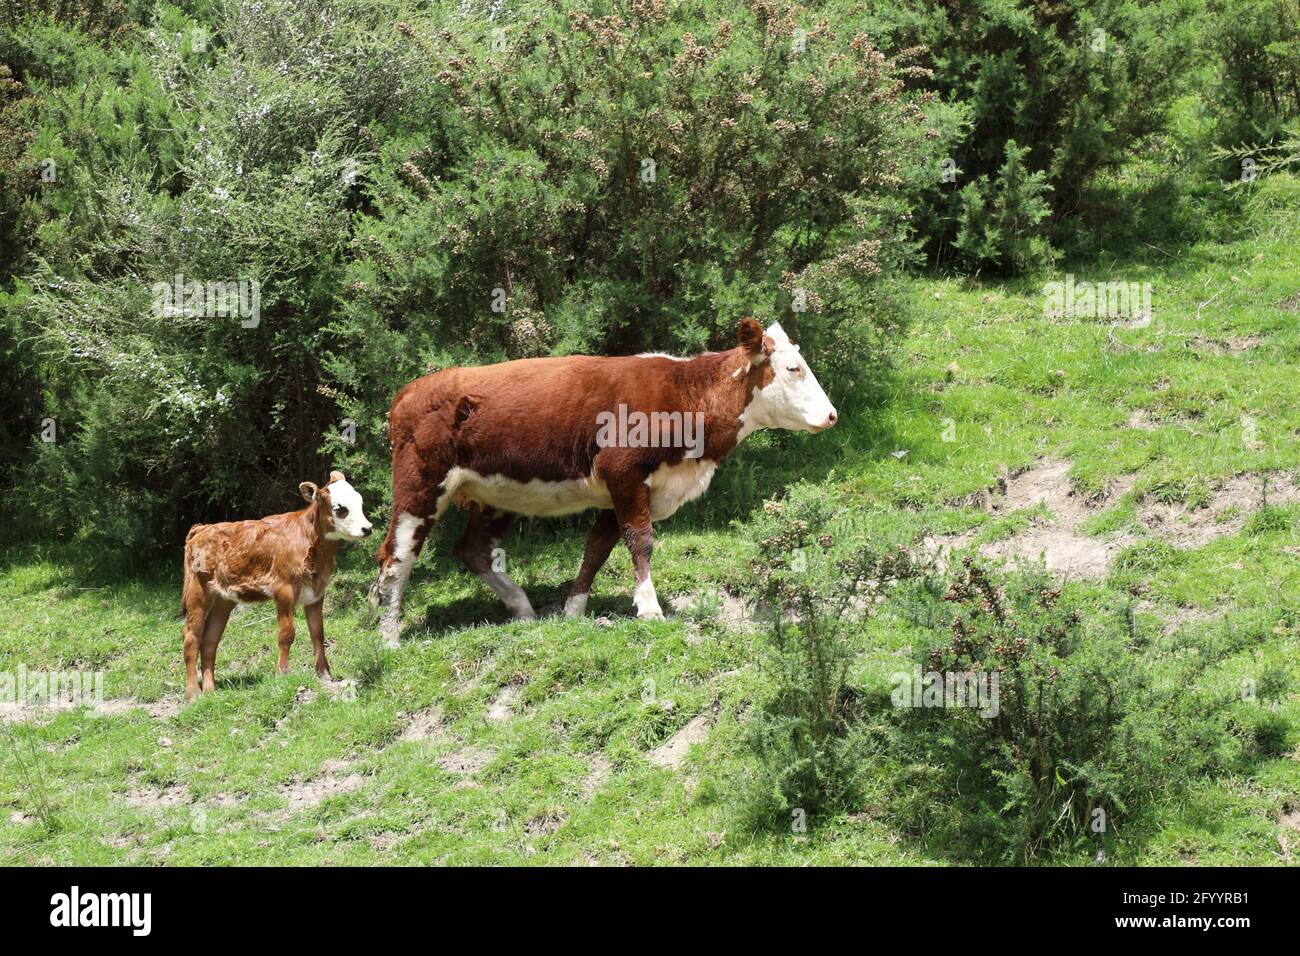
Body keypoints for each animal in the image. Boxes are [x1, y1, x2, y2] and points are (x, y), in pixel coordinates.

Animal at [182, 471, 373, 698]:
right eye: (340, 508)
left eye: (360, 502)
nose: (368, 528)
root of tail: (202, 528)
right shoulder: (284, 590)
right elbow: (286, 634)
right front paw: (282, 674)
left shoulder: (316, 593)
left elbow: (318, 633)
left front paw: (324, 673)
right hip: (197, 592)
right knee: (191, 638)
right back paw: (194, 692)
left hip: (223, 599)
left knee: (210, 640)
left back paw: (211, 691)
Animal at [372, 318, 837, 646]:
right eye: (793, 368)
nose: (832, 415)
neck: (685, 395)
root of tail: (411, 390)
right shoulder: (624, 472)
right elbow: (640, 541)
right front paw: (649, 607)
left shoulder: (623, 488)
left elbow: (597, 548)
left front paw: (574, 608)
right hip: (419, 485)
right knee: (397, 555)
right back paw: (389, 637)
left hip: (495, 494)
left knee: (471, 549)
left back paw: (522, 606)